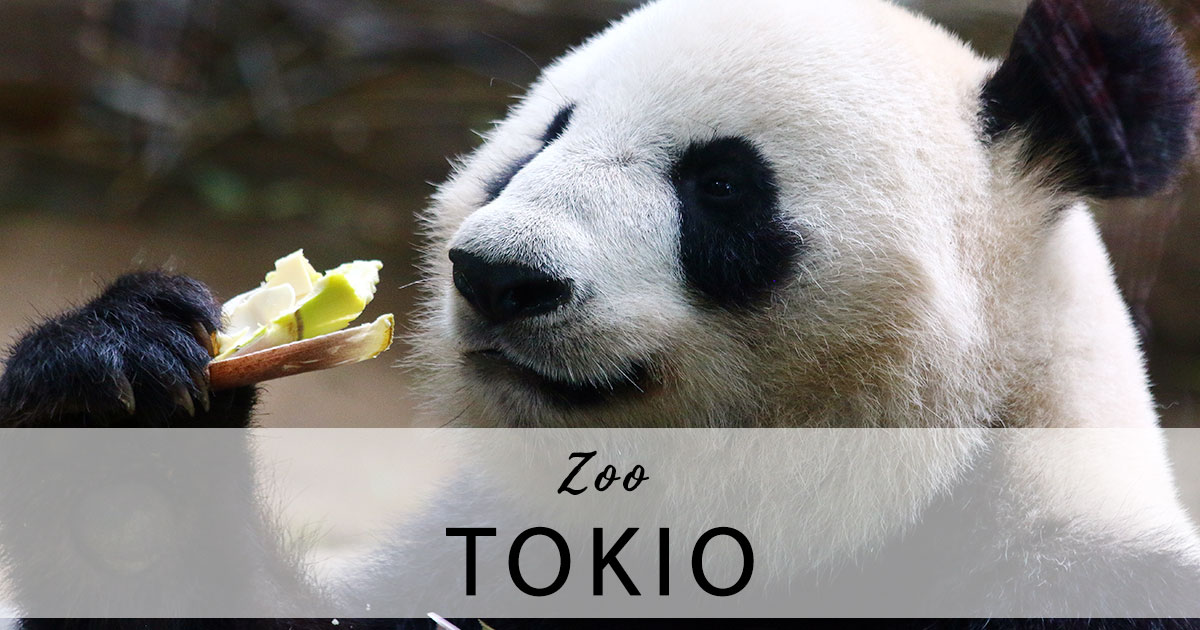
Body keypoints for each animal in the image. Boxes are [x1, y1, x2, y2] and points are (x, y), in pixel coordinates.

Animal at [1, 0, 1199, 627]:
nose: (499, 277)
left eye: (723, 185)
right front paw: (117, 375)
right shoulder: (482, 558)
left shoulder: (1053, 582)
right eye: (544, 137)